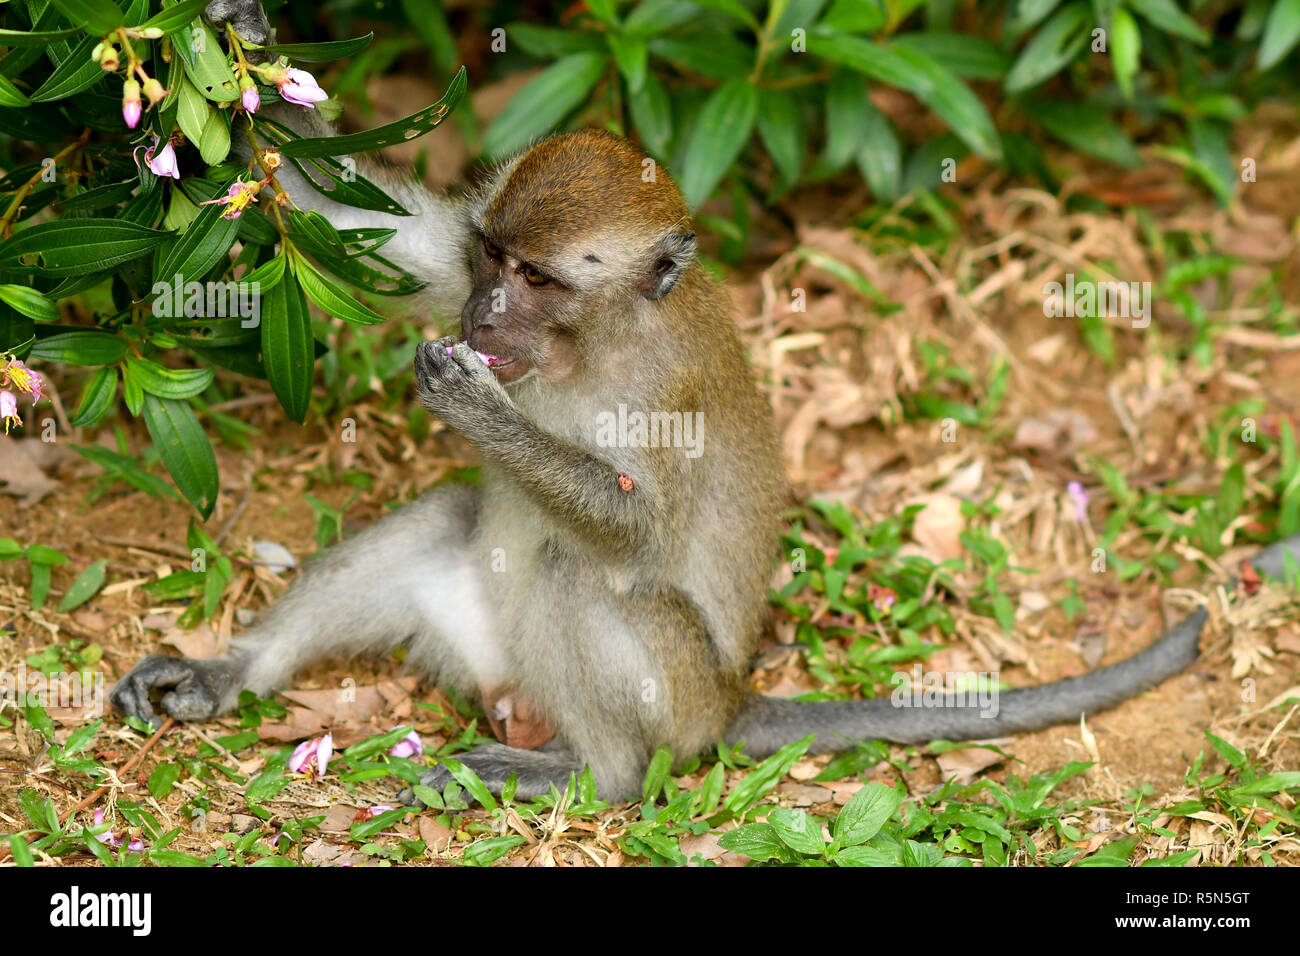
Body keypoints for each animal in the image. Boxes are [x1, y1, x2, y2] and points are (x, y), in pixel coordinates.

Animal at [109, 2, 1300, 804]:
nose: (486, 310)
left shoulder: (660, 389)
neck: (591, 349)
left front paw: (483, 416)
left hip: (674, 696)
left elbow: (637, 528)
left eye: (537, 278)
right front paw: (232, 41)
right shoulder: (447, 261)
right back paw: (231, 675)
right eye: (492, 257)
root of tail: (727, 702)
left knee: (586, 571)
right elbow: (363, 229)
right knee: (452, 522)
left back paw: (593, 774)